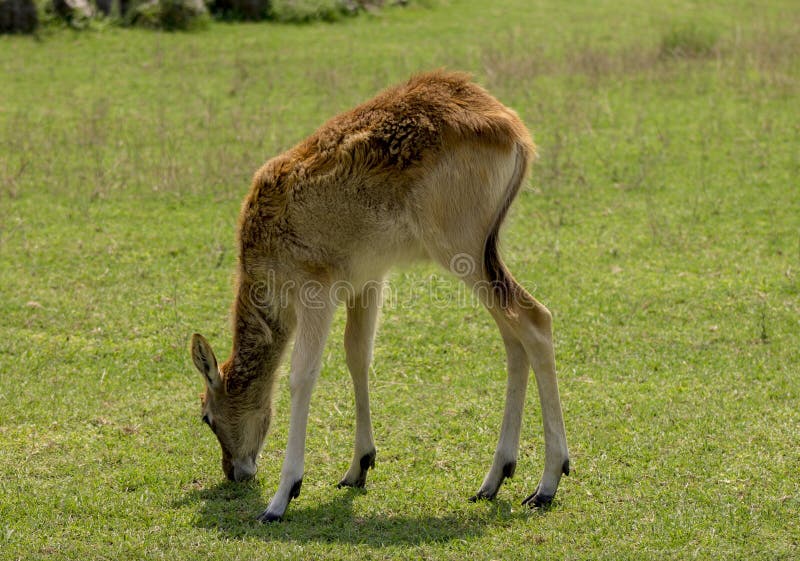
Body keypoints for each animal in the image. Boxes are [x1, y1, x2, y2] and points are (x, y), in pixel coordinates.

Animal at [190, 70, 570, 522]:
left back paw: (547, 484)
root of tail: (514, 130)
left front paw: (281, 498)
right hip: (485, 258)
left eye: (206, 416)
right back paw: (494, 479)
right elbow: (358, 356)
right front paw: (358, 466)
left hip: (462, 255)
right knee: (514, 339)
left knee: (536, 319)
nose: (233, 471)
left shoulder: (316, 292)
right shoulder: (367, 282)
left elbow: (302, 375)